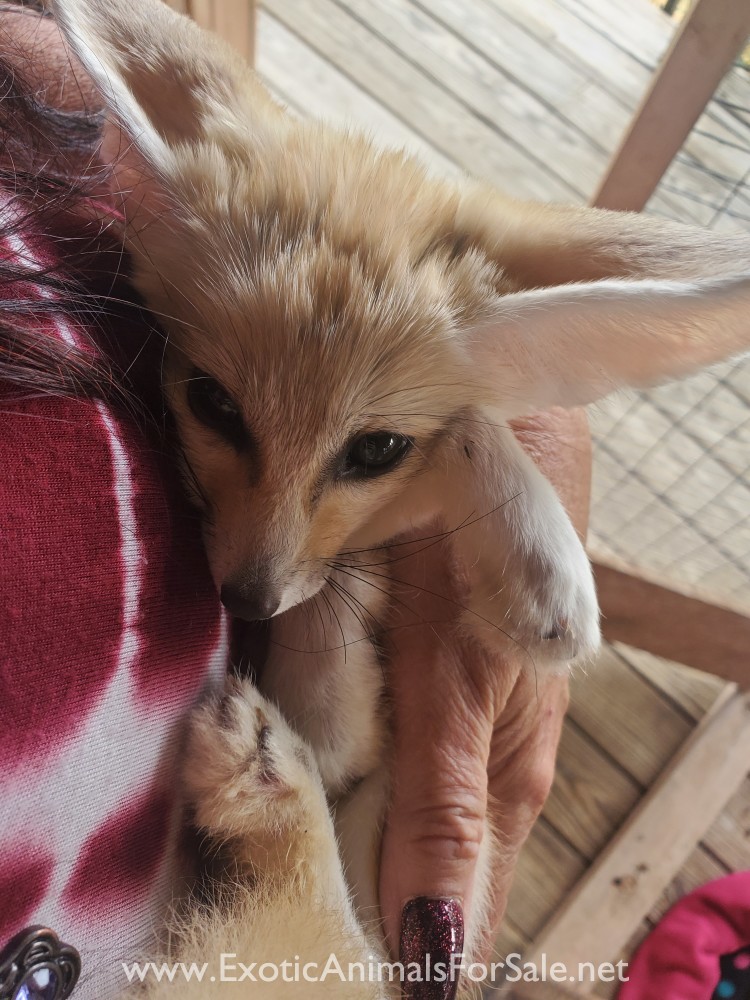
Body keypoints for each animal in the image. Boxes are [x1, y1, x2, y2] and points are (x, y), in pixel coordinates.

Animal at [49, 0, 750, 995]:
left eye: (375, 449)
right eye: (212, 404)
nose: (243, 602)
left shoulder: (353, 728)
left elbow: (464, 435)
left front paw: (539, 560)